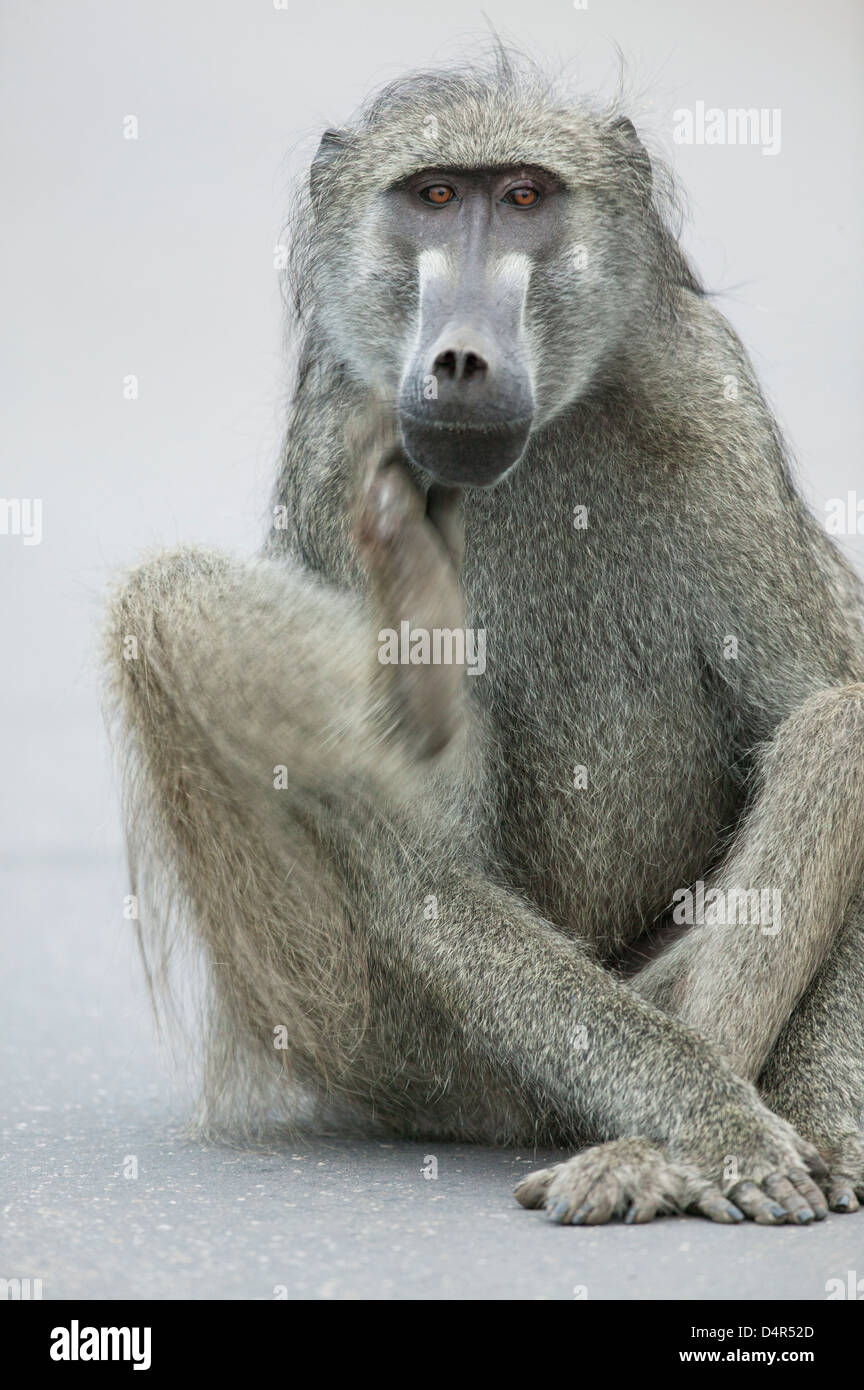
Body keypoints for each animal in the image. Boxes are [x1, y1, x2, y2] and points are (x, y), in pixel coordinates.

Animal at [106, 48, 864, 1227]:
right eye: (431, 197)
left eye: (520, 198)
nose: (460, 359)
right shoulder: (337, 450)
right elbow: (427, 865)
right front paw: (720, 1126)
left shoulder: (714, 401)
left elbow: (823, 701)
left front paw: (817, 1130)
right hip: (396, 1044)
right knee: (167, 601)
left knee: (837, 725)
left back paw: (646, 1151)